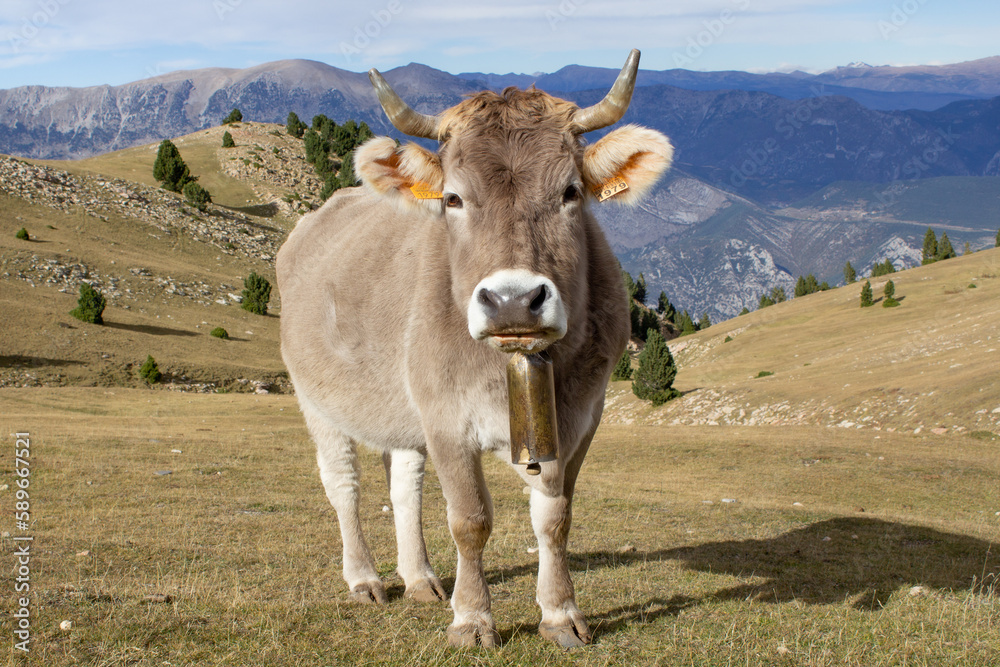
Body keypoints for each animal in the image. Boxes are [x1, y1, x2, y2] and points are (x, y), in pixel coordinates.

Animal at [276, 49, 673, 648]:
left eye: (570, 192)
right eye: (453, 198)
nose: (513, 301)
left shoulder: (581, 417)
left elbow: (554, 517)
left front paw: (560, 613)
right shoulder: (445, 419)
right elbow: (469, 520)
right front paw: (472, 618)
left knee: (405, 485)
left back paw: (419, 578)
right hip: (315, 400)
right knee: (344, 484)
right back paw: (365, 579)